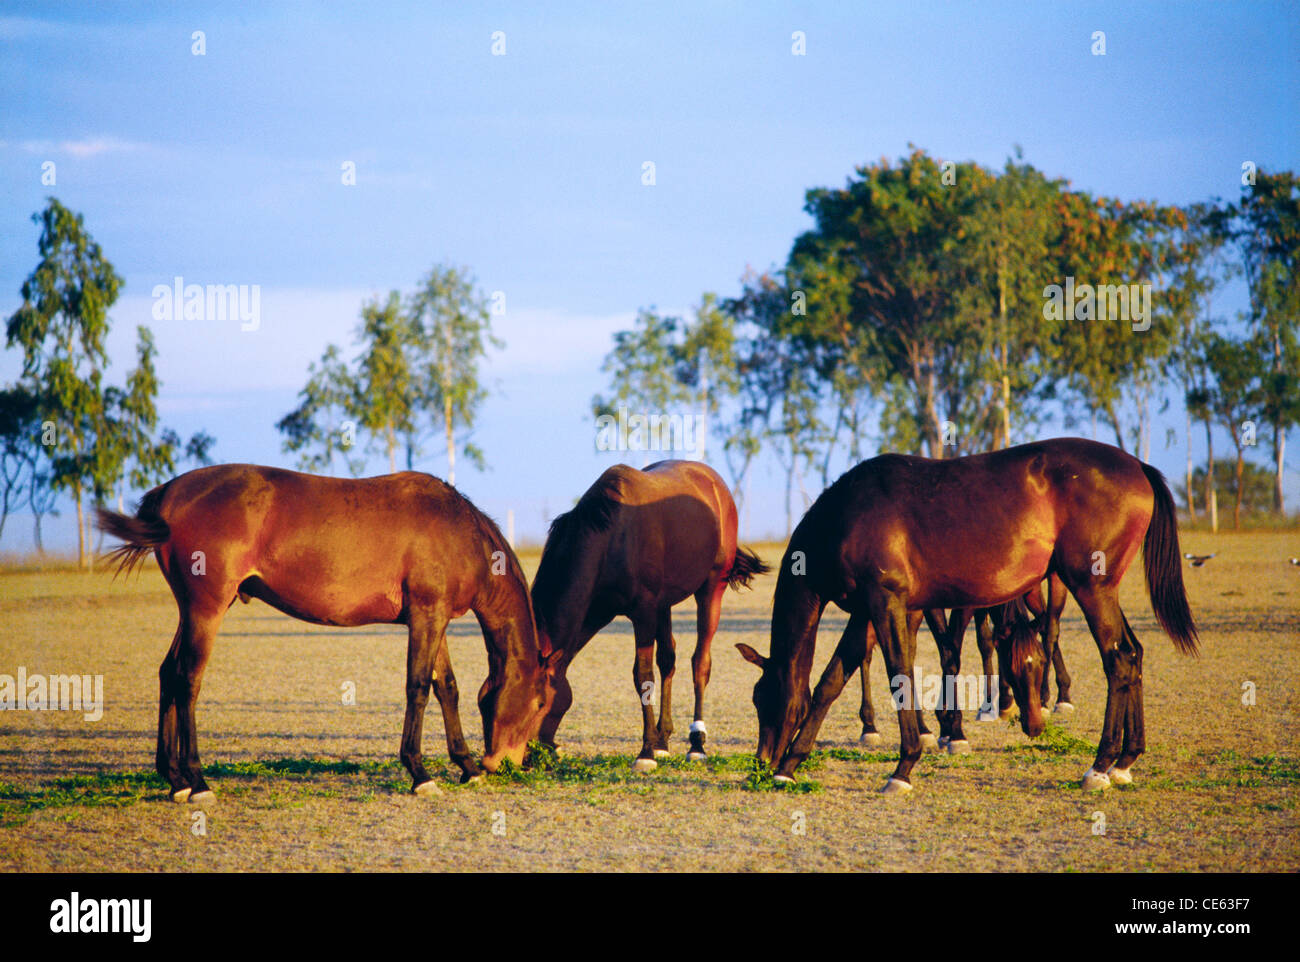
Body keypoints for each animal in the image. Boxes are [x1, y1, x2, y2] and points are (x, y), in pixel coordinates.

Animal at [96, 464, 547, 802]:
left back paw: (174, 780)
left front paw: (466, 766)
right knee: (188, 680)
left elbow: (446, 687)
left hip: (192, 610)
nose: (507, 762)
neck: (459, 531)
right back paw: (198, 781)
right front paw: (420, 772)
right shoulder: (426, 616)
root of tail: (170, 493)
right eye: (540, 702)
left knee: (169, 674)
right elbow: (418, 687)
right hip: (205, 610)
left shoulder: (435, 619)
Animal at [530, 460, 769, 771]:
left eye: (537, 702)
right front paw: (654, 744)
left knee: (700, 663)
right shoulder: (597, 612)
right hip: (663, 605)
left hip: (711, 588)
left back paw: (696, 744)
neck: (612, 536)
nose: (524, 754)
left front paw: (645, 752)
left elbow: (643, 676)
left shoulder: (642, 613)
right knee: (668, 659)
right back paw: (663, 741)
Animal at [736, 438, 1198, 794]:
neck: (846, 516)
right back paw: (1124, 761)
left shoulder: (886, 603)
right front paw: (789, 768)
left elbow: (899, 672)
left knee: (1118, 662)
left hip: (1091, 587)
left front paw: (904, 767)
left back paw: (1099, 766)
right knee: (1133, 655)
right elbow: (831, 681)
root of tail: (1137, 466)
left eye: (763, 698)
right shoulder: (867, 613)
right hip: (1103, 591)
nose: (762, 761)